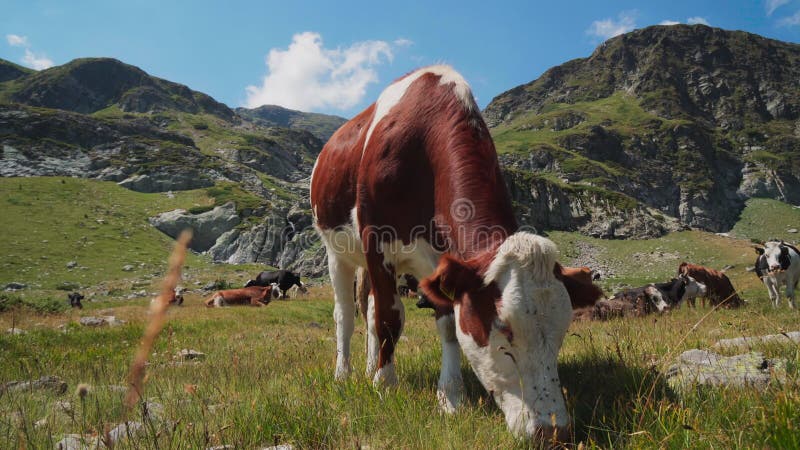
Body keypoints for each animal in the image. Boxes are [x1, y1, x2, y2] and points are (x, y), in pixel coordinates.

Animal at [311, 65, 572, 442]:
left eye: (561, 333)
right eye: (503, 331)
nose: (553, 431)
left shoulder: (444, 263)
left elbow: (447, 325)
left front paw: (450, 397)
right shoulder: (377, 243)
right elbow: (390, 319)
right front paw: (385, 385)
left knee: (370, 308)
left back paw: (371, 364)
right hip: (339, 252)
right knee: (345, 313)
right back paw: (344, 375)